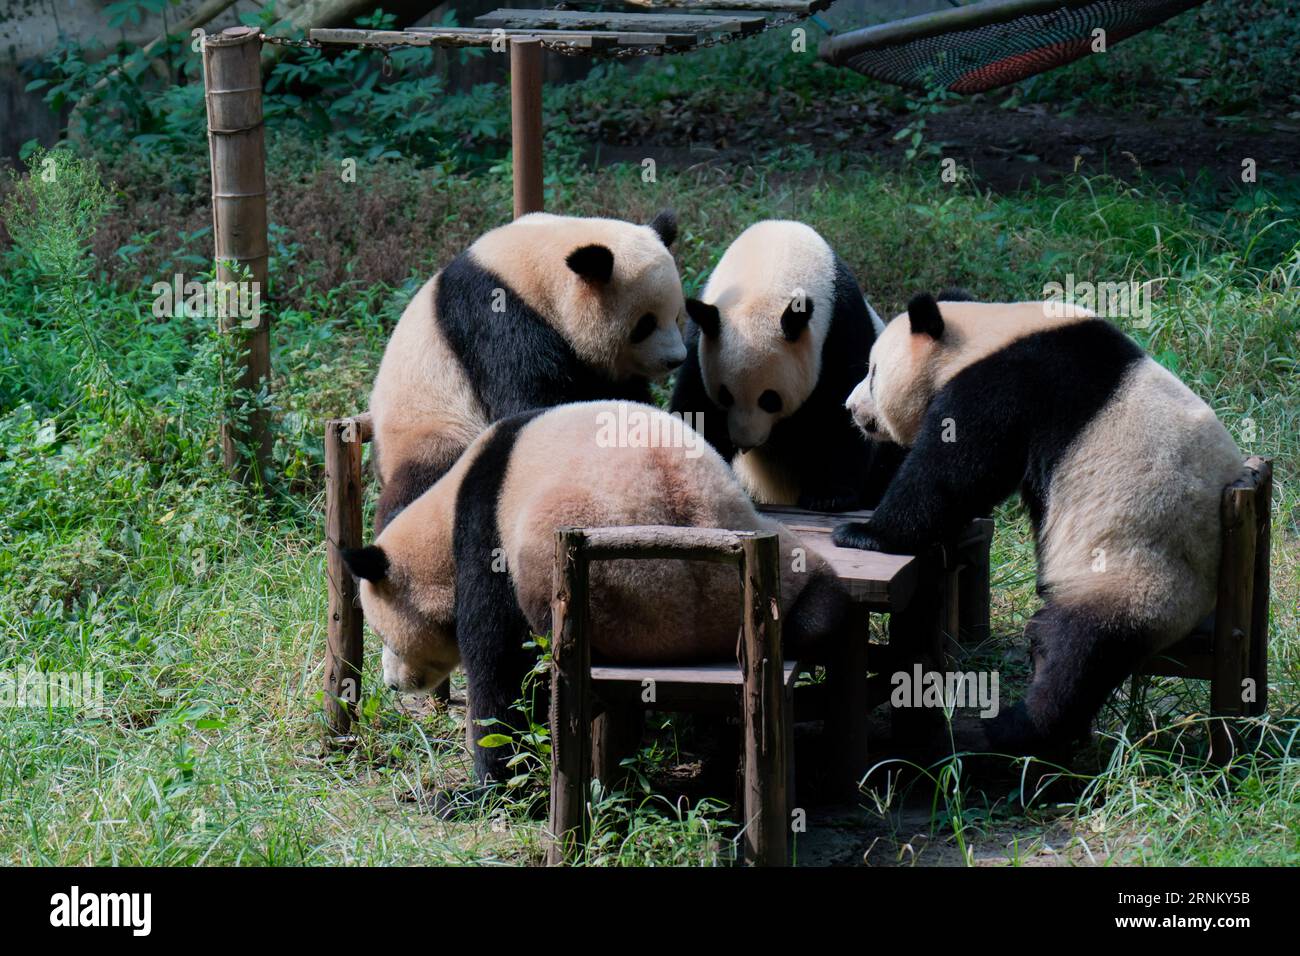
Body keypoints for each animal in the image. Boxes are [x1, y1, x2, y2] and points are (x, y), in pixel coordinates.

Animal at [343, 401, 850, 783]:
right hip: (760, 535)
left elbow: (498, 663)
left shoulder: (487, 534)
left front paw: (485, 779)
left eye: (385, 636)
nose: (393, 683)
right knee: (817, 590)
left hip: (611, 575)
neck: (446, 510)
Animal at [369, 211, 689, 532]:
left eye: (676, 316)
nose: (676, 359)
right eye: (645, 324)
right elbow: (529, 398)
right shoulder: (497, 314)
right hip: (430, 428)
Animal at [669, 219, 902, 512]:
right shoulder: (702, 341)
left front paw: (828, 496)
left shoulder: (839, 327)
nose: (745, 441)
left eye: (770, 399)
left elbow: (841, 411)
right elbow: (697, 408)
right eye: (725, 396)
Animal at [833, 292, 1243, 757]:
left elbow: (951, 472)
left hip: (1139, 580)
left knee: (1077, 653)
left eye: (872, 372)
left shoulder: (1009, 385)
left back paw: (1013, 732)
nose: (850, 408)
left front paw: (866, 534)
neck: (981, 337)